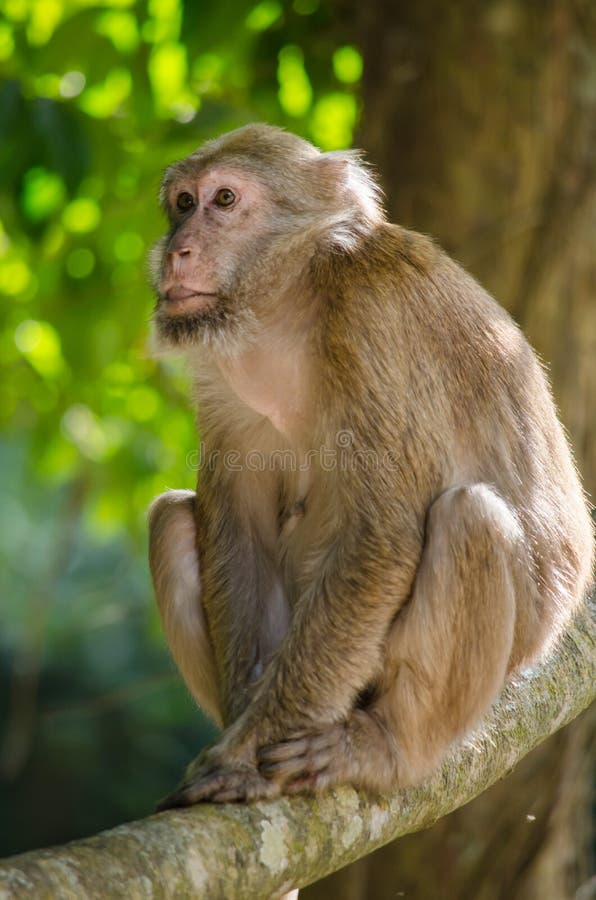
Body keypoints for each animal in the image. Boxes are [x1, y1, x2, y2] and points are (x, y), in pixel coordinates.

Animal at [147, 124, 594, 808]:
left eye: (223, 199)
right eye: (181, 203)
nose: (177, 252)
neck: (293, 305)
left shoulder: (369, 318)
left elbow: (382, 536)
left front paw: (243, 753)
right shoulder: (225, 376)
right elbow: (239, 529)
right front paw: (246, 727)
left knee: (470, 517)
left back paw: (387, 748)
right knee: (172, 519)